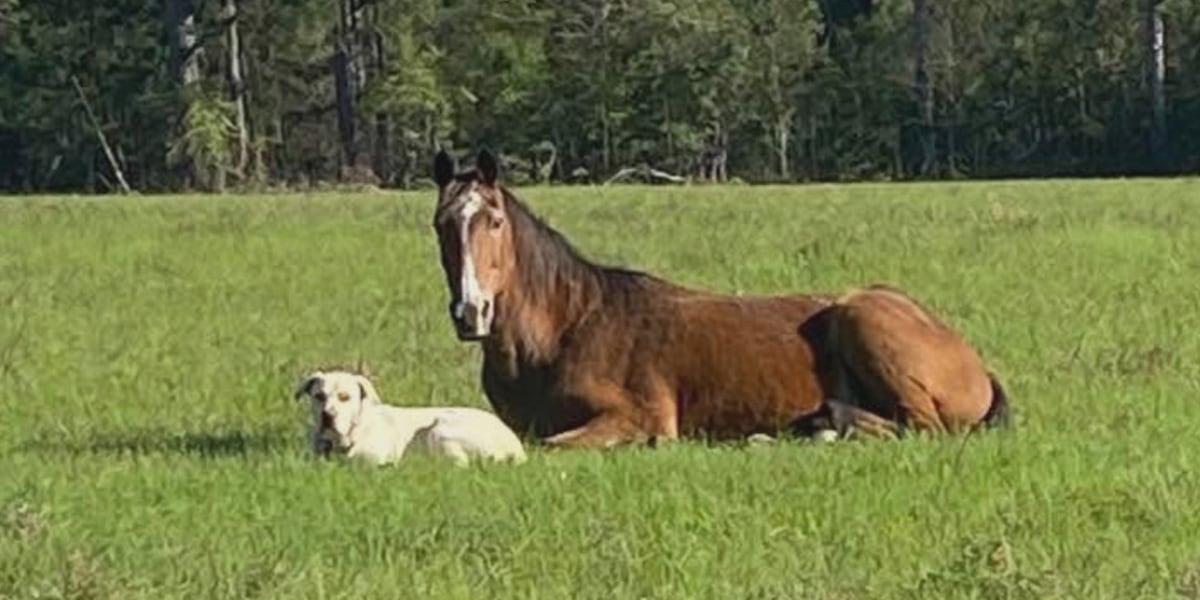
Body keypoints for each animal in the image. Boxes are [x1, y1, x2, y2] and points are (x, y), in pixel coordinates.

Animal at [430, 148, 842, 448]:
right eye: (440, 225)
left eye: (495, 222)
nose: (470, 312)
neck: (566, 333)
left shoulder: (640, 416)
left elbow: (552, 444)